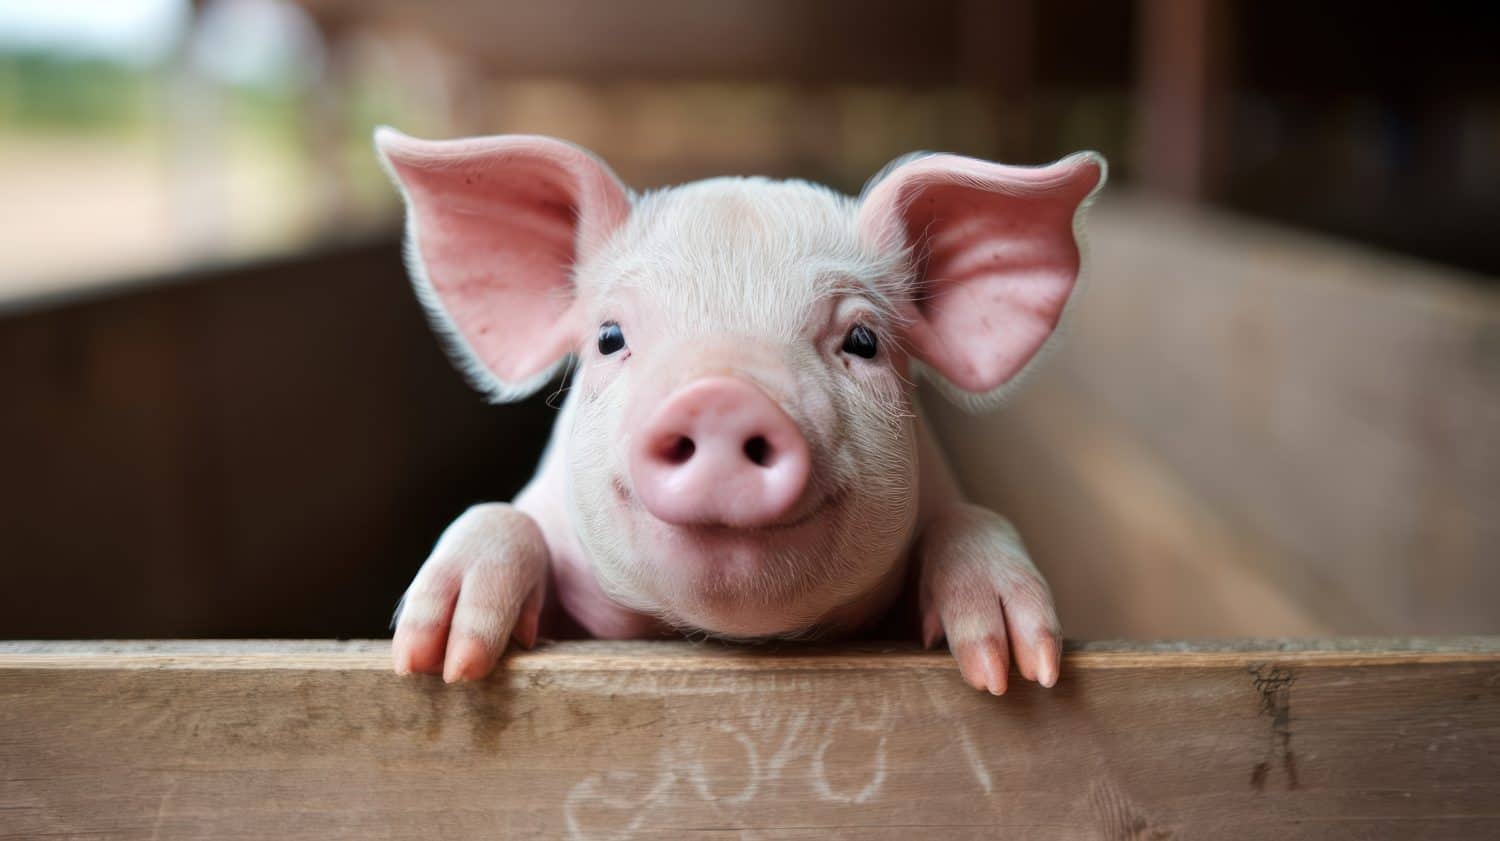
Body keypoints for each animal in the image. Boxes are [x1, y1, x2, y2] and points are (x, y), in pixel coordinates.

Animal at [375, 127, 1105, 694]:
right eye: (610, 336)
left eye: (862, 341)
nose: (721, 395)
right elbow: (500, 516)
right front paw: (435, 660)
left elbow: (971, 520)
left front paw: (1018, 668)